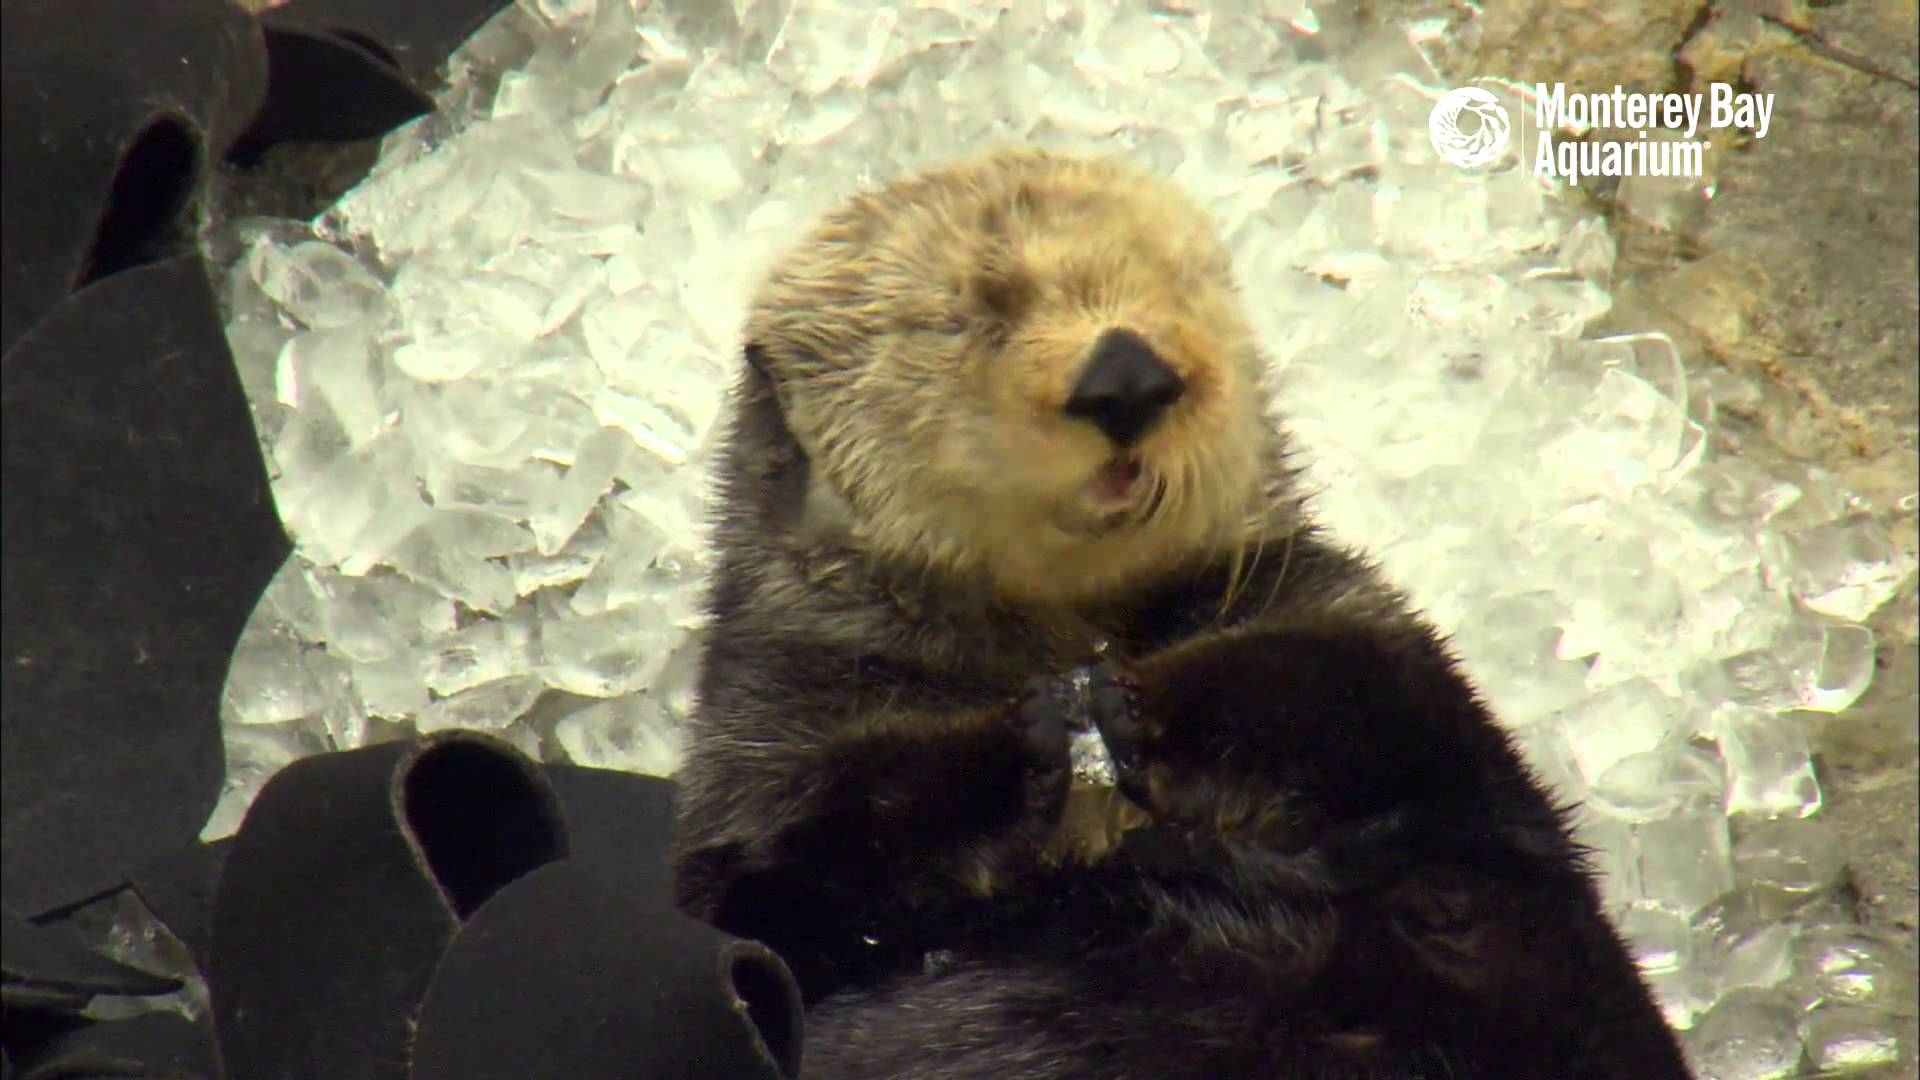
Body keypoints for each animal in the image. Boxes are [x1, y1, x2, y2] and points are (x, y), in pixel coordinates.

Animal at [669, 148, 1692, 1079]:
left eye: (1183, 286)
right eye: (966, 315)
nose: (1126, 371)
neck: (1070, 627)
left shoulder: (1340, 619)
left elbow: (1374, 710)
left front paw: (1140, 705)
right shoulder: (769, 733)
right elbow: (789, 884)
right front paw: (1030, 733)